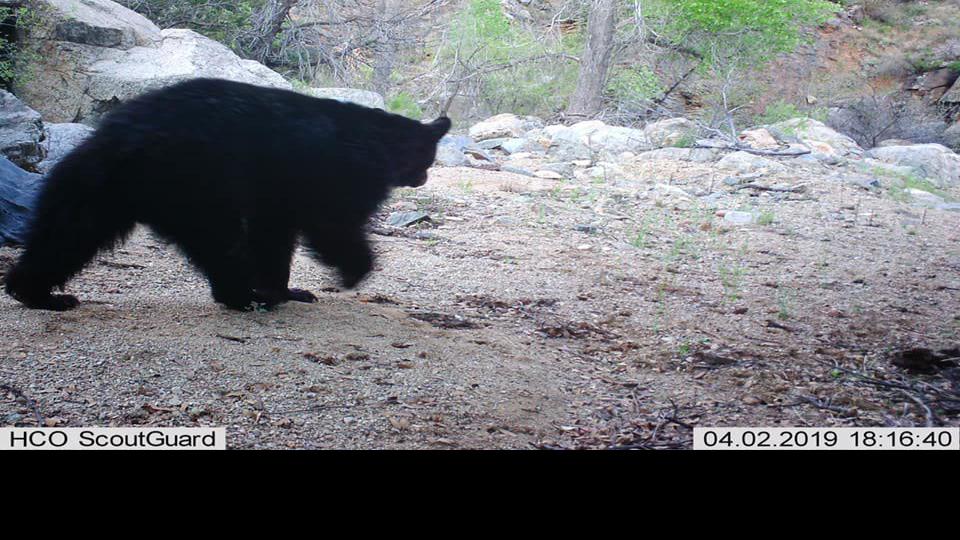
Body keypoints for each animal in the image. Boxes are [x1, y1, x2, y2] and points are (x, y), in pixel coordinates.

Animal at [4, 78, 451, 311]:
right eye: (428, 158)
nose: (423, 178)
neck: (380, 142)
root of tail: (121, 137)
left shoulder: (278, 198)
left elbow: (275, 237)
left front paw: (285, 289)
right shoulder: (336, 177)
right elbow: (332, 225)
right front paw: (353, 271)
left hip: (99, 186)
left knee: (68, 233)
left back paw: (36, 293)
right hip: (195, 183)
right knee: (218, 240)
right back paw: (240, 295)